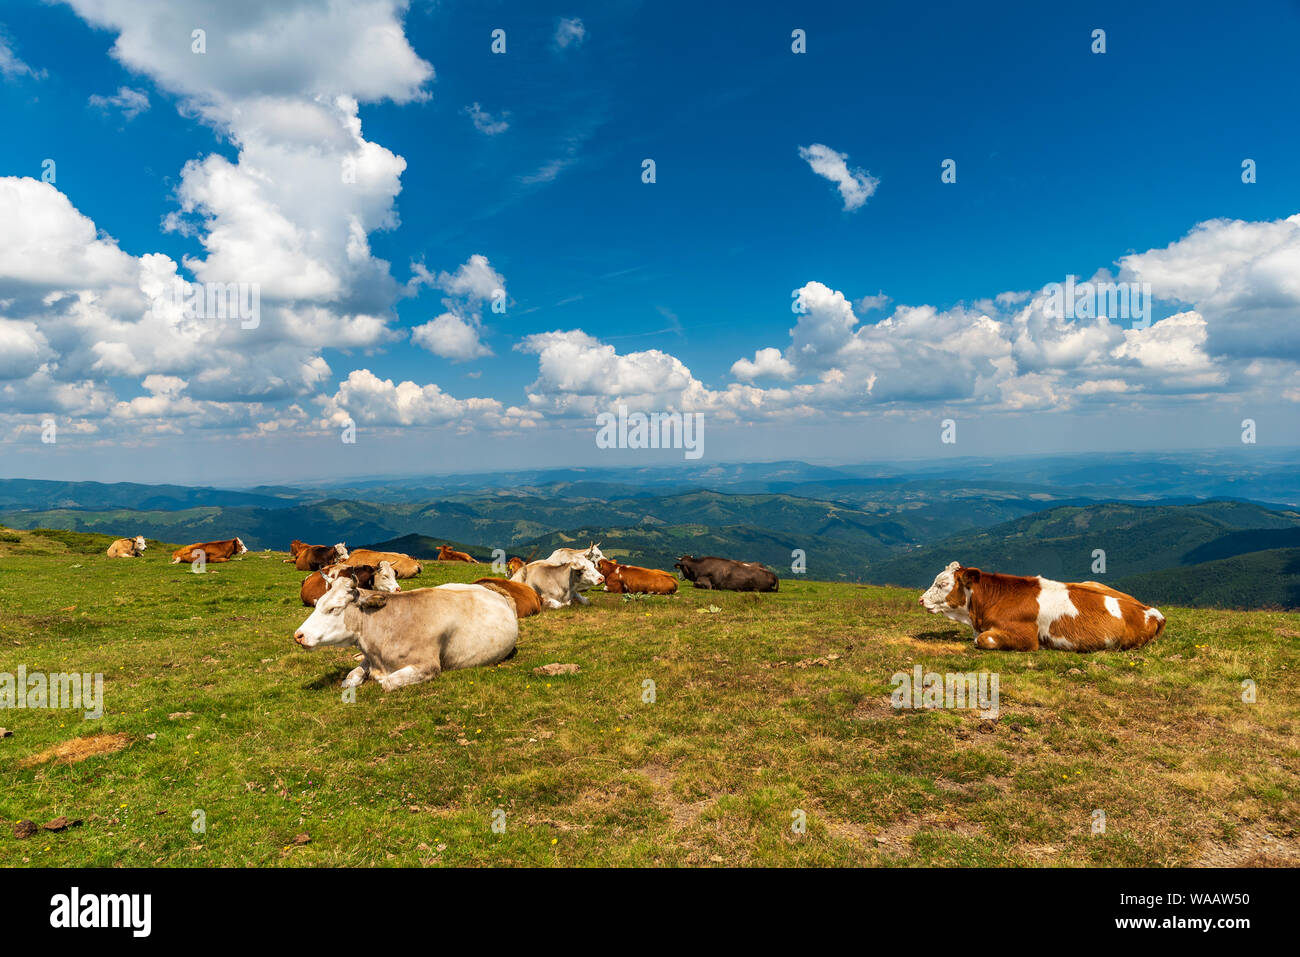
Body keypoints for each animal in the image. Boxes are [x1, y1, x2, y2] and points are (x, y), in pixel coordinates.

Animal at [293, 577, 518, 691]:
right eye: (317, 603)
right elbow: (349, 678)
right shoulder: (370, 657)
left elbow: (387, 682)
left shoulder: (428, 666)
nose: (299, 635)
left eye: (334, 608)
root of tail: (493, 590)